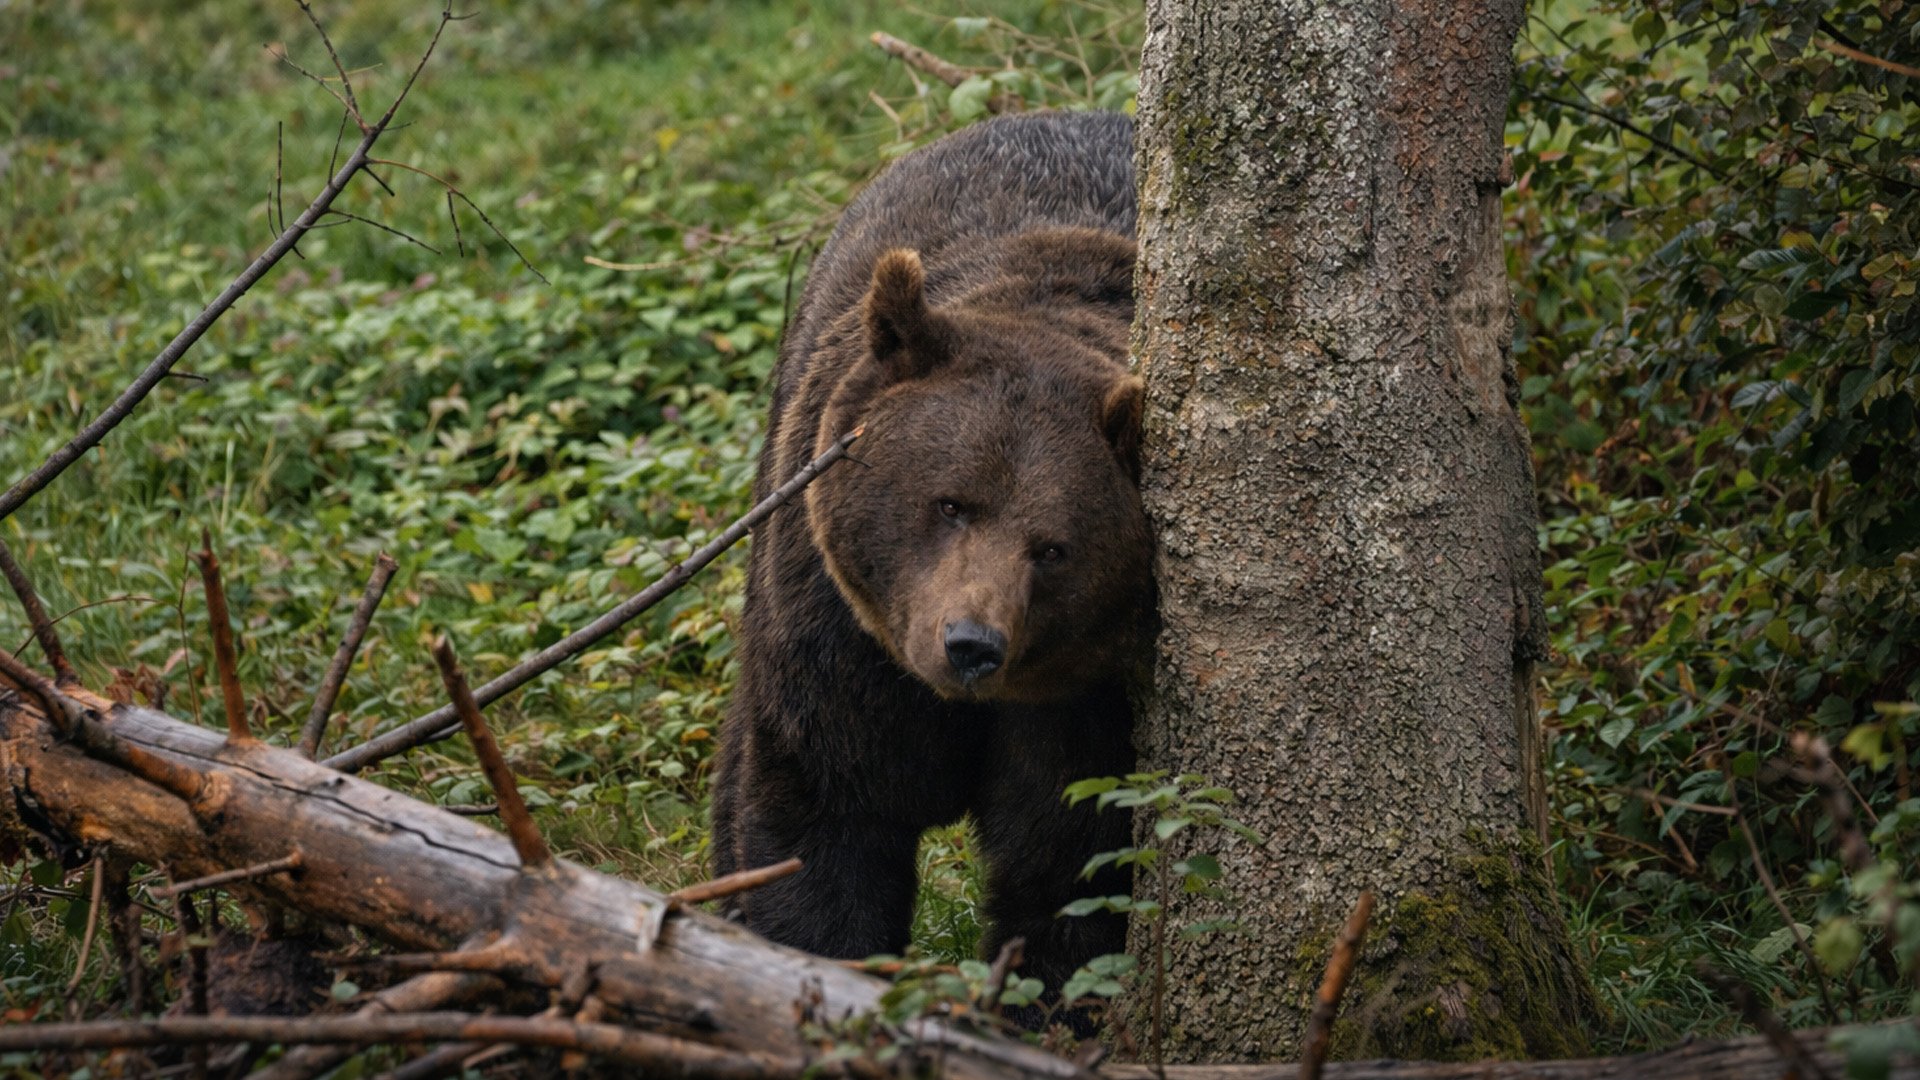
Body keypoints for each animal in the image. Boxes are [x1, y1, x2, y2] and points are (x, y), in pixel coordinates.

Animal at [710, 110, 1148, 1000]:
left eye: (1052, 547)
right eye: (950, 503)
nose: (970, 644)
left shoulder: (1083, 701)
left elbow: (1068, 868)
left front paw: (1039, 1002)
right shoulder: (840, 641)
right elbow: (826, 817)